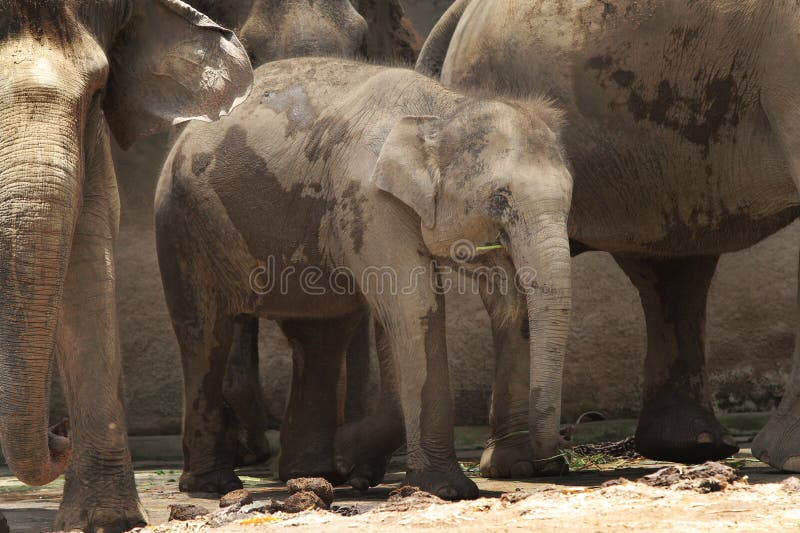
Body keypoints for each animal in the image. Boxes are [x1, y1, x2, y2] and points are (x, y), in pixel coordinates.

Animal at [155, 56, 573, 499]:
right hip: (182, 227)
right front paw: (444, 490)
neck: (443, 109)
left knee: (319, 336)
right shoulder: (369, 199)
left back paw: (311, 472)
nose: (557, 458)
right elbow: (412, 310)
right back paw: (213, 484)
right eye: (500, 198)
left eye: (569, 202)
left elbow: (492, 307)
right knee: (205, 336)